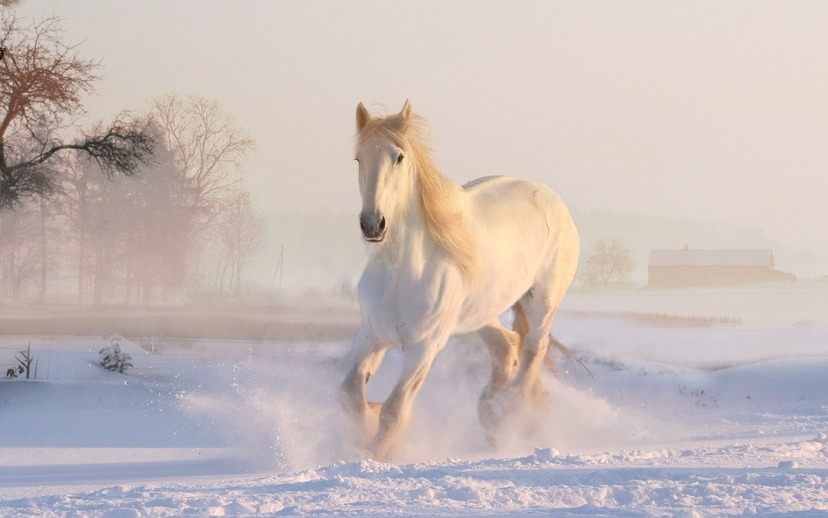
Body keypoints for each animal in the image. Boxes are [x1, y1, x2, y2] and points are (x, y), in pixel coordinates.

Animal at [340, 100, 580, 460]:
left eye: (399, 157)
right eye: (359, 158)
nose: (372, 224)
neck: (401, 273)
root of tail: (552, 199)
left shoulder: (424, 348)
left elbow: (394, 411)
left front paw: (377, 454)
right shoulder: (371, 334)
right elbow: (351, 396)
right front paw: (364, 430)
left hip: (543, 302)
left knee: (533, 350)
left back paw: (511, 413)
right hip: (480, 313)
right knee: (506, 346)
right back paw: (491, 414)